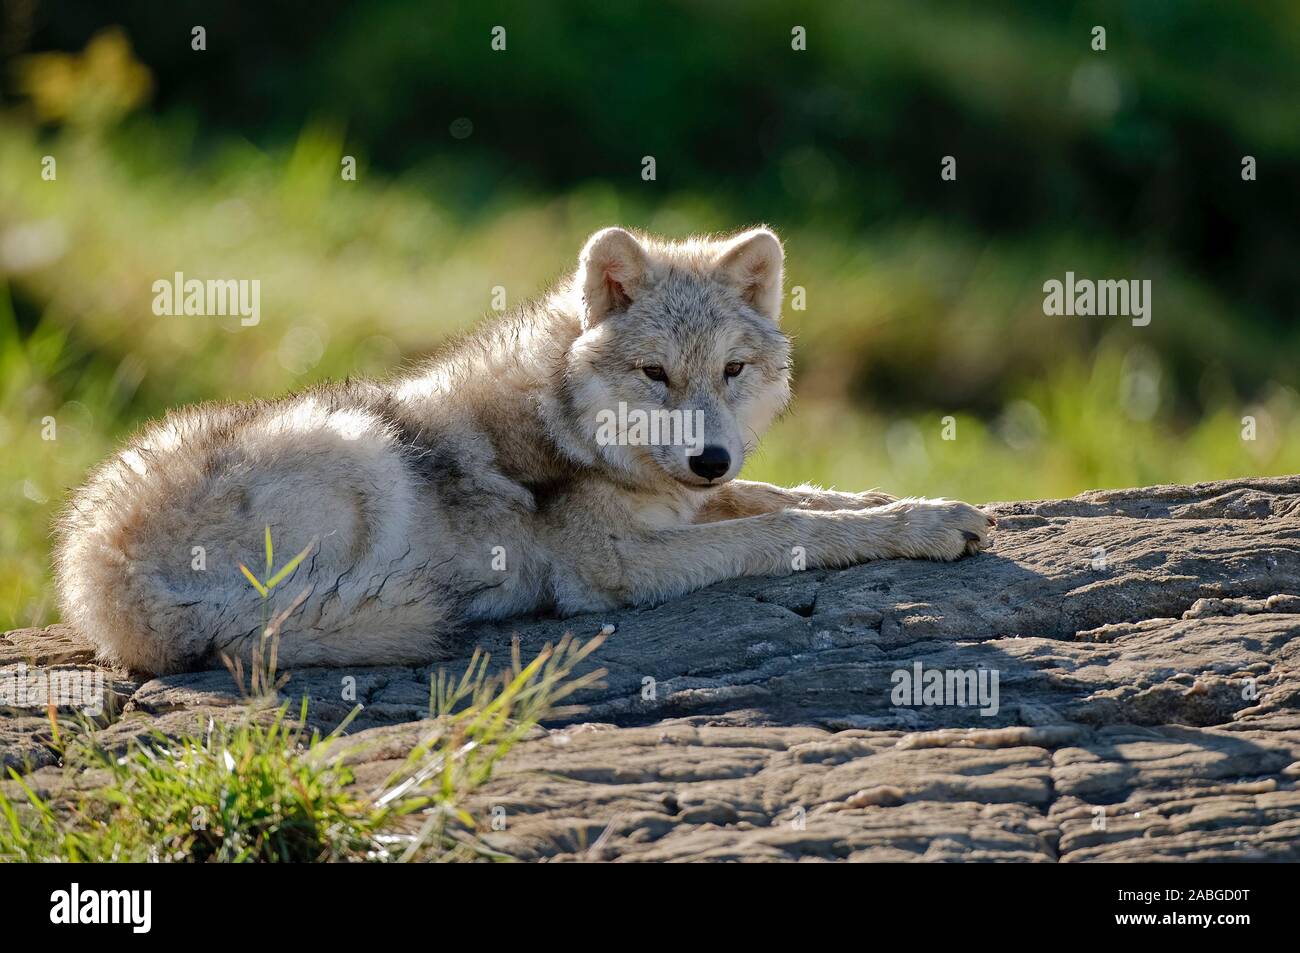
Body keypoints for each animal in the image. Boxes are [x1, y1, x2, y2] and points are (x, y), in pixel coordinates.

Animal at [55, 227, 995, 674]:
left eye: (731, 370)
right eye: (655, 373)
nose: (708, 458)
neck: (569, 419)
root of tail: (94, 579)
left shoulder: (690, 496)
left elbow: (791, 496)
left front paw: (901, 506)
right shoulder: (612, 566)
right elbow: (785, 528)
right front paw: (919, 521)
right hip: (358, 441)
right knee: (268, 634)